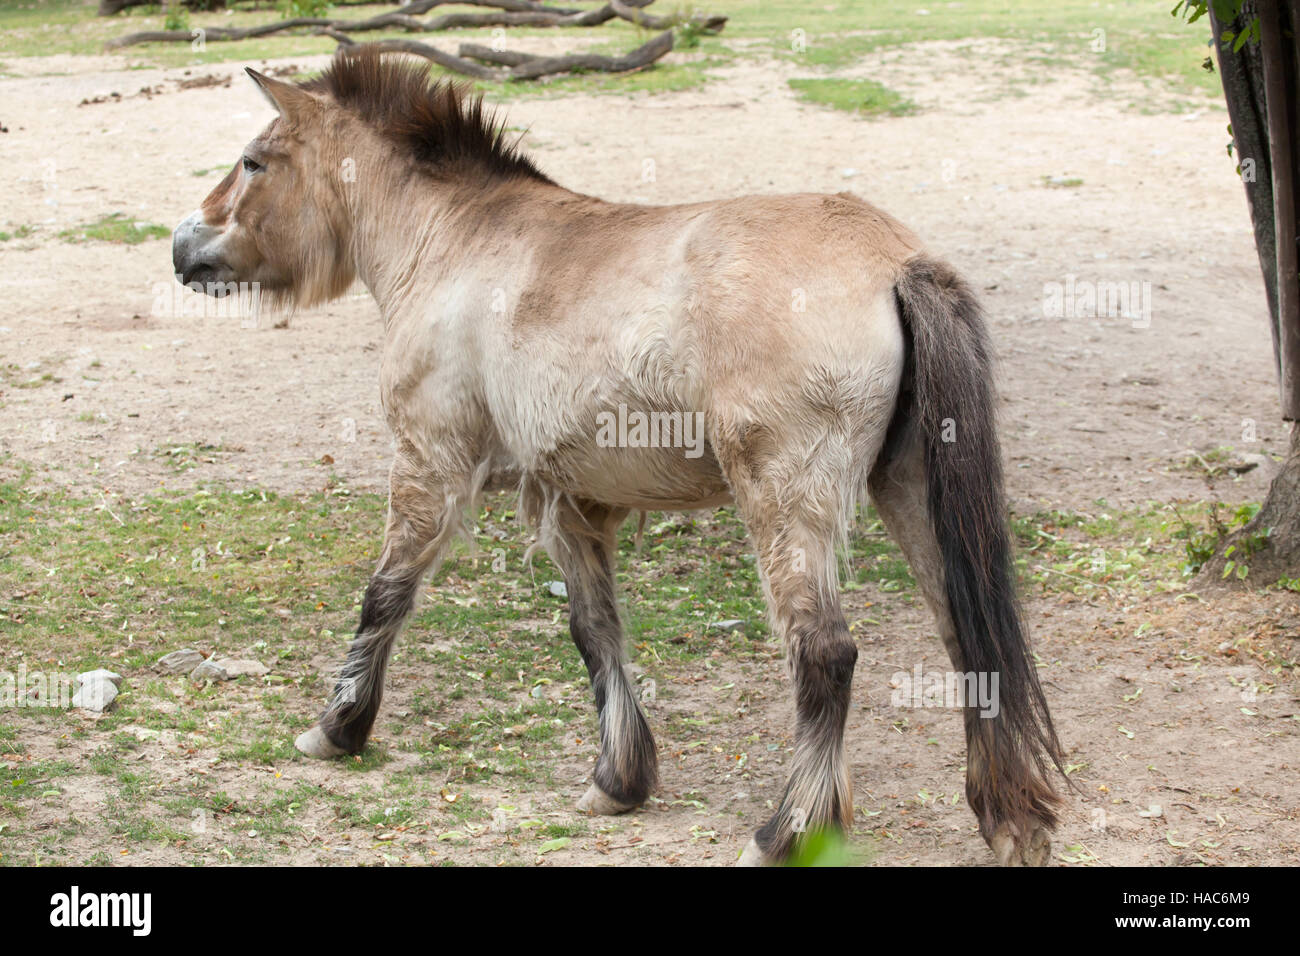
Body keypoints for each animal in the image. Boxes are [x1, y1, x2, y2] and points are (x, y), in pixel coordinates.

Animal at [172, 46, 1065, 866]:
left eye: (254, 161)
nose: (184, 245)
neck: (456, 243)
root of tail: (895, 261)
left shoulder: (432, 464)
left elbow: (385, 596)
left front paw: (337, 729)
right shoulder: (571, 500)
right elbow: (594, 630)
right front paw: (619, 779)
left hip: (785, 501)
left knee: (825, 654)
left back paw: (786, 831)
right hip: (906, 486)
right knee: (966, 635)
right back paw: (1009, 820)